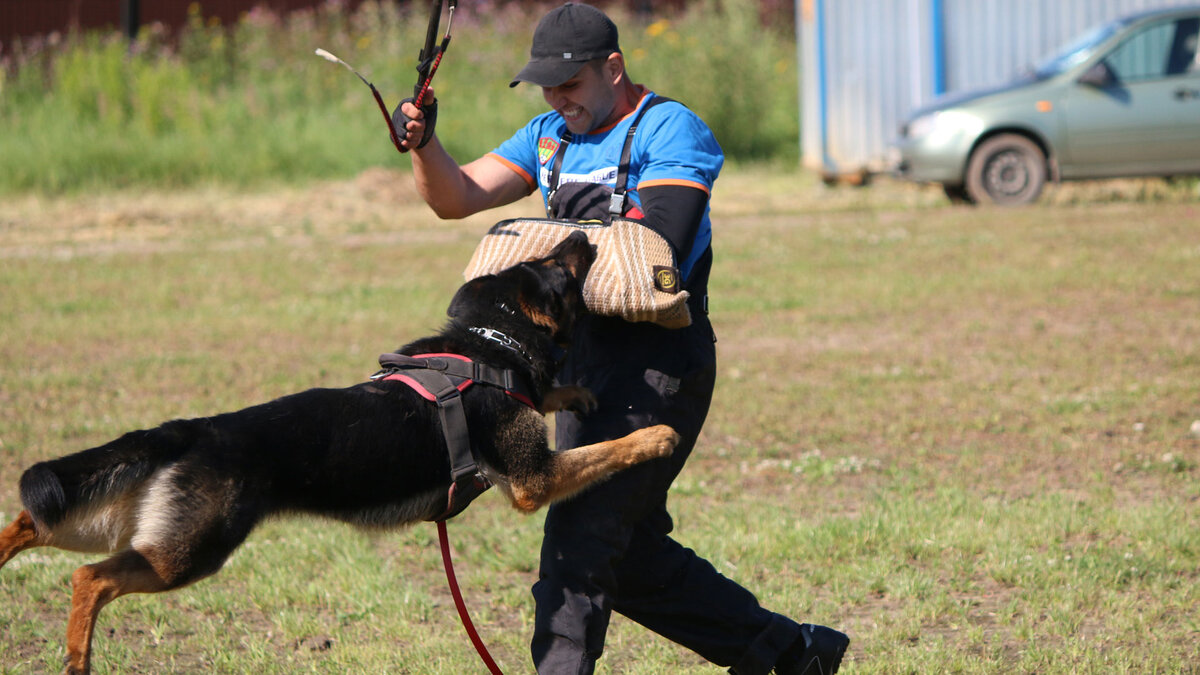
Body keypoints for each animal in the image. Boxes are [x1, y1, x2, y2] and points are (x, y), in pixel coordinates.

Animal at [0, 230, 676, 672]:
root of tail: (191, 428)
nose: (581, 231)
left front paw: (574, 392)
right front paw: (656, 437)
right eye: (560, 266)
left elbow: (557, 396)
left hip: (126, 529)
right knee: (87, 578)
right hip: (185, 555)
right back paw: (77, 657)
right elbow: (611, 449)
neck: (490, 343)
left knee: (32, 523)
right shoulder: (534, 482)